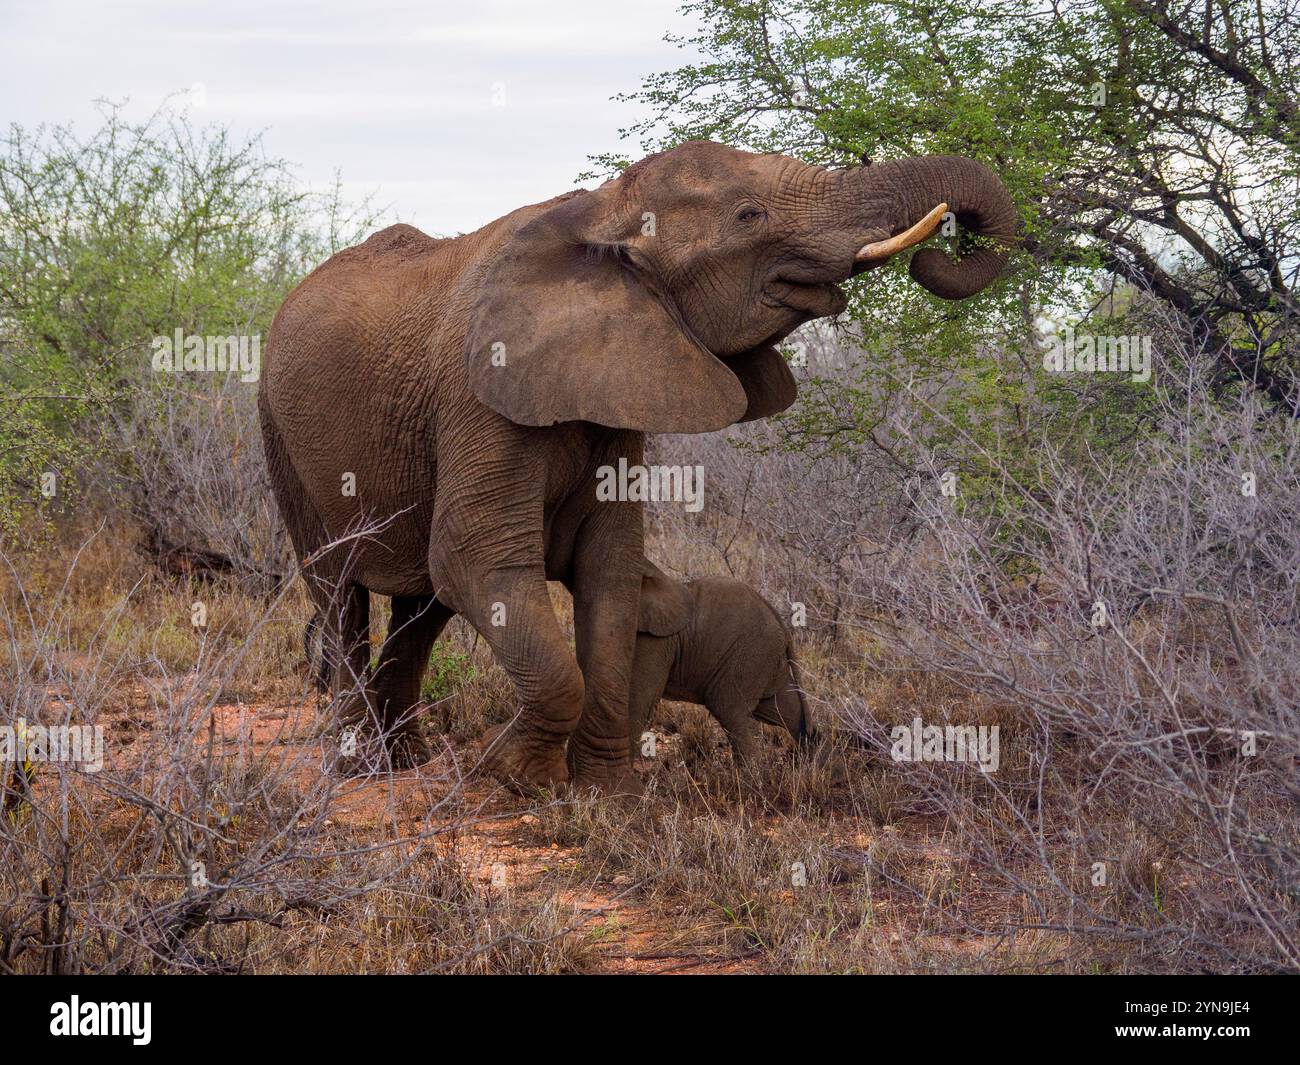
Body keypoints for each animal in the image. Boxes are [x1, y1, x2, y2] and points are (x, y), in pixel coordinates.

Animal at [629, 572, 811, 768]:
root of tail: (783, 627)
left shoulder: (655, 641)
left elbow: (641, 700)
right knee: (786, 711)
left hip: (746, 659)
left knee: (730, 713)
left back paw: (750, 774)